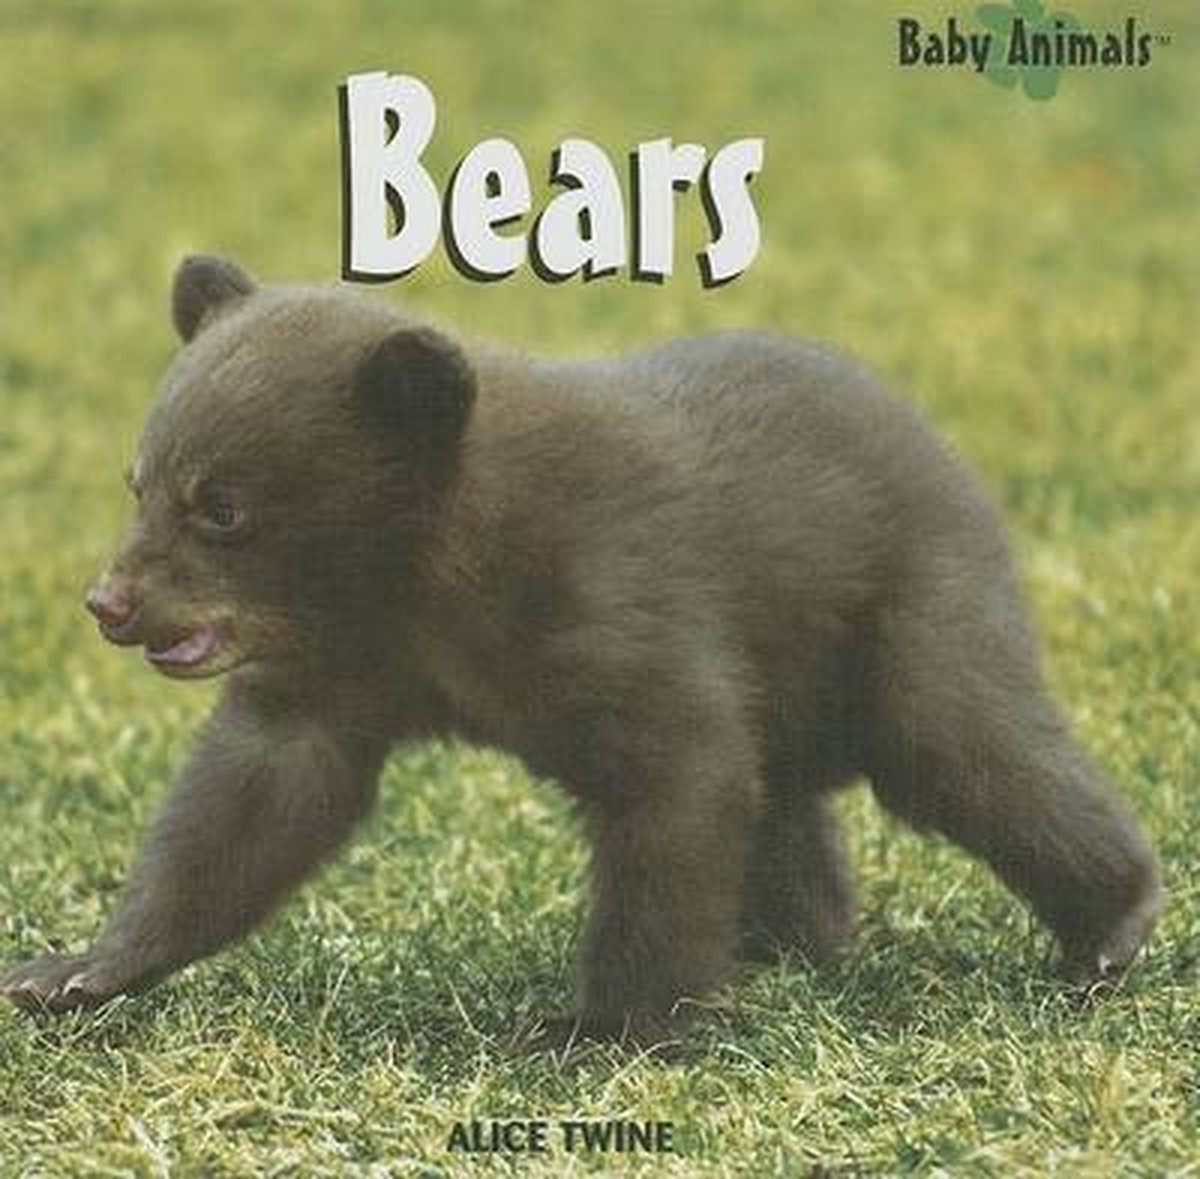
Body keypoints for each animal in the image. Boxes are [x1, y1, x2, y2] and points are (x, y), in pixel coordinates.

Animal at [2, 256, 1162, 1041]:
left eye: (226, 508)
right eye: (140, 482)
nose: (109, 602)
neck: (428, 577)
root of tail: (939, 447)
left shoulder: (615, 593)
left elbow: (678, 783)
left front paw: (599, 1032)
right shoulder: (336, 666)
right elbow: (251, 804)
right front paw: (77, 969)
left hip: (912, 605)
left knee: (971, 751)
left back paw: (1110, 930)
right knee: (779, 805)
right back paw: (788, 949)